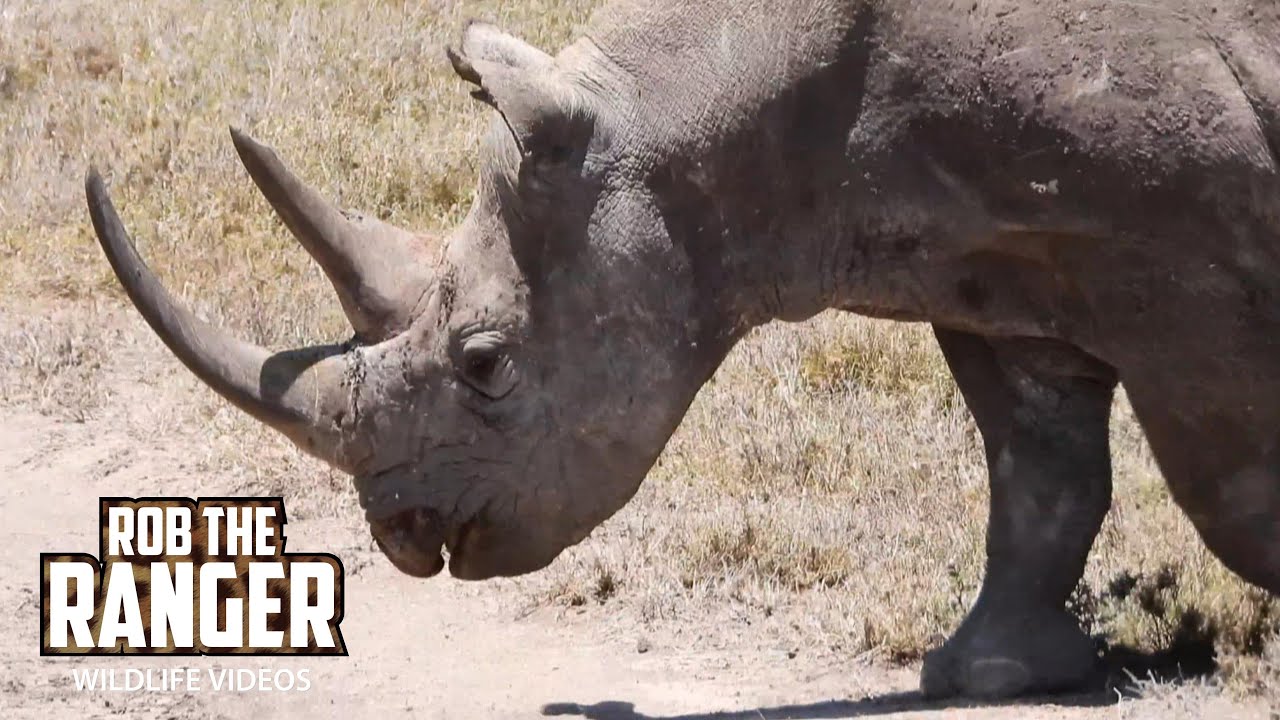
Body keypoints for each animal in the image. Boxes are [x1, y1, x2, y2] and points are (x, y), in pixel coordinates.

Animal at [85, 0, 1279, 700]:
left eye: (487, 363)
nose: (405, 534)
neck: (718, 102)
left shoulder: (1192, 251)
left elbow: (1222, 470)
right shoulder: (984, 258)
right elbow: (1038, 469)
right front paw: (992, 672)